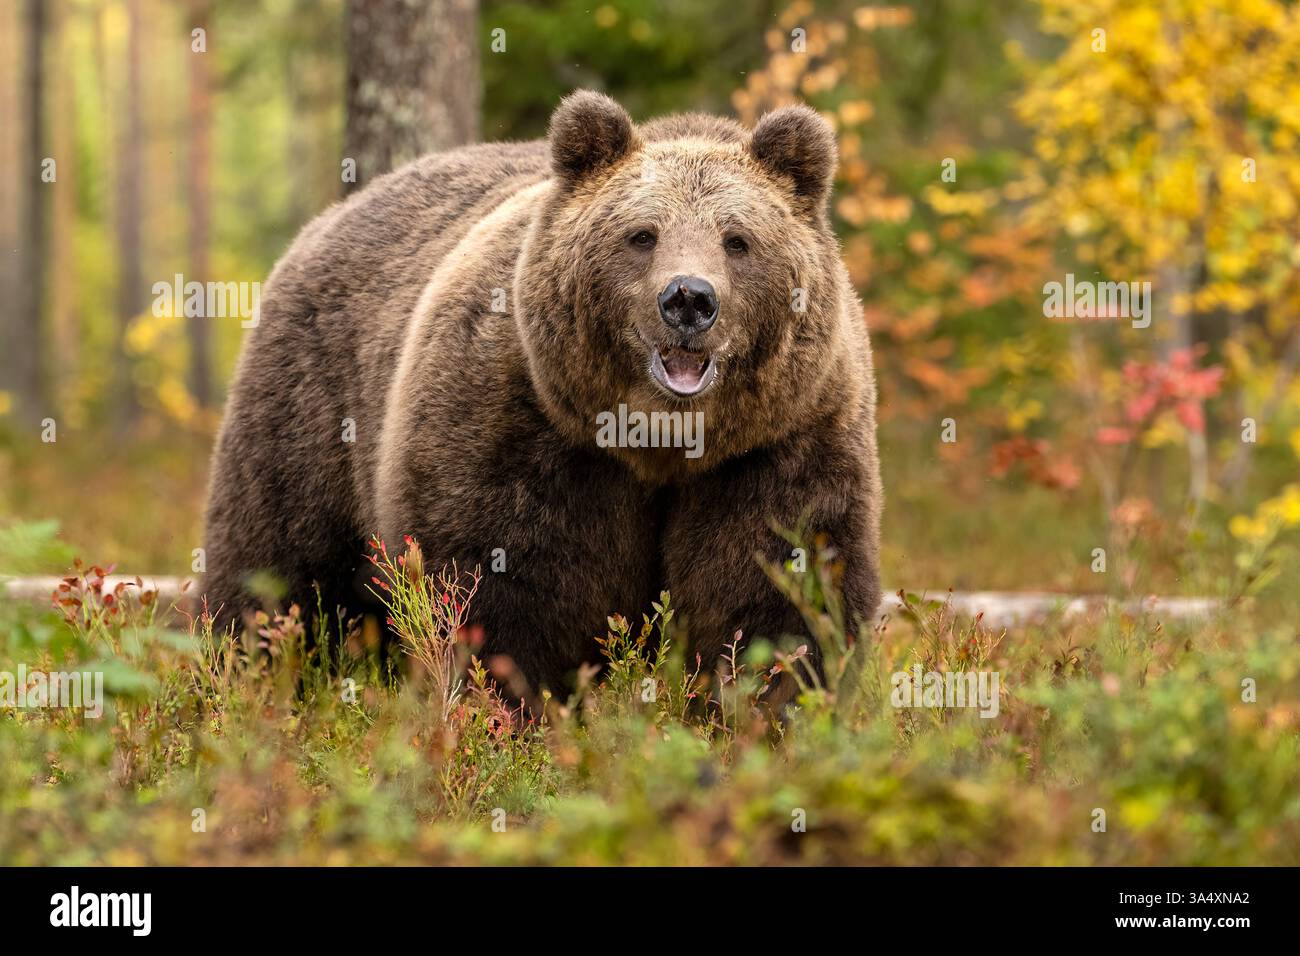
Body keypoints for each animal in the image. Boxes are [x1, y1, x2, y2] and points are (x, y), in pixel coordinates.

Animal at [202, 90, 882, 697]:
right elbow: (507, 596)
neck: (661, 443)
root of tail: (330, 216)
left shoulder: (782, 442)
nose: (689, 299)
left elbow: (778, 595)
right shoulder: (521, 423)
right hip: (312, 408)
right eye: (642, 234)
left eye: (737, 239)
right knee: (275, 569)